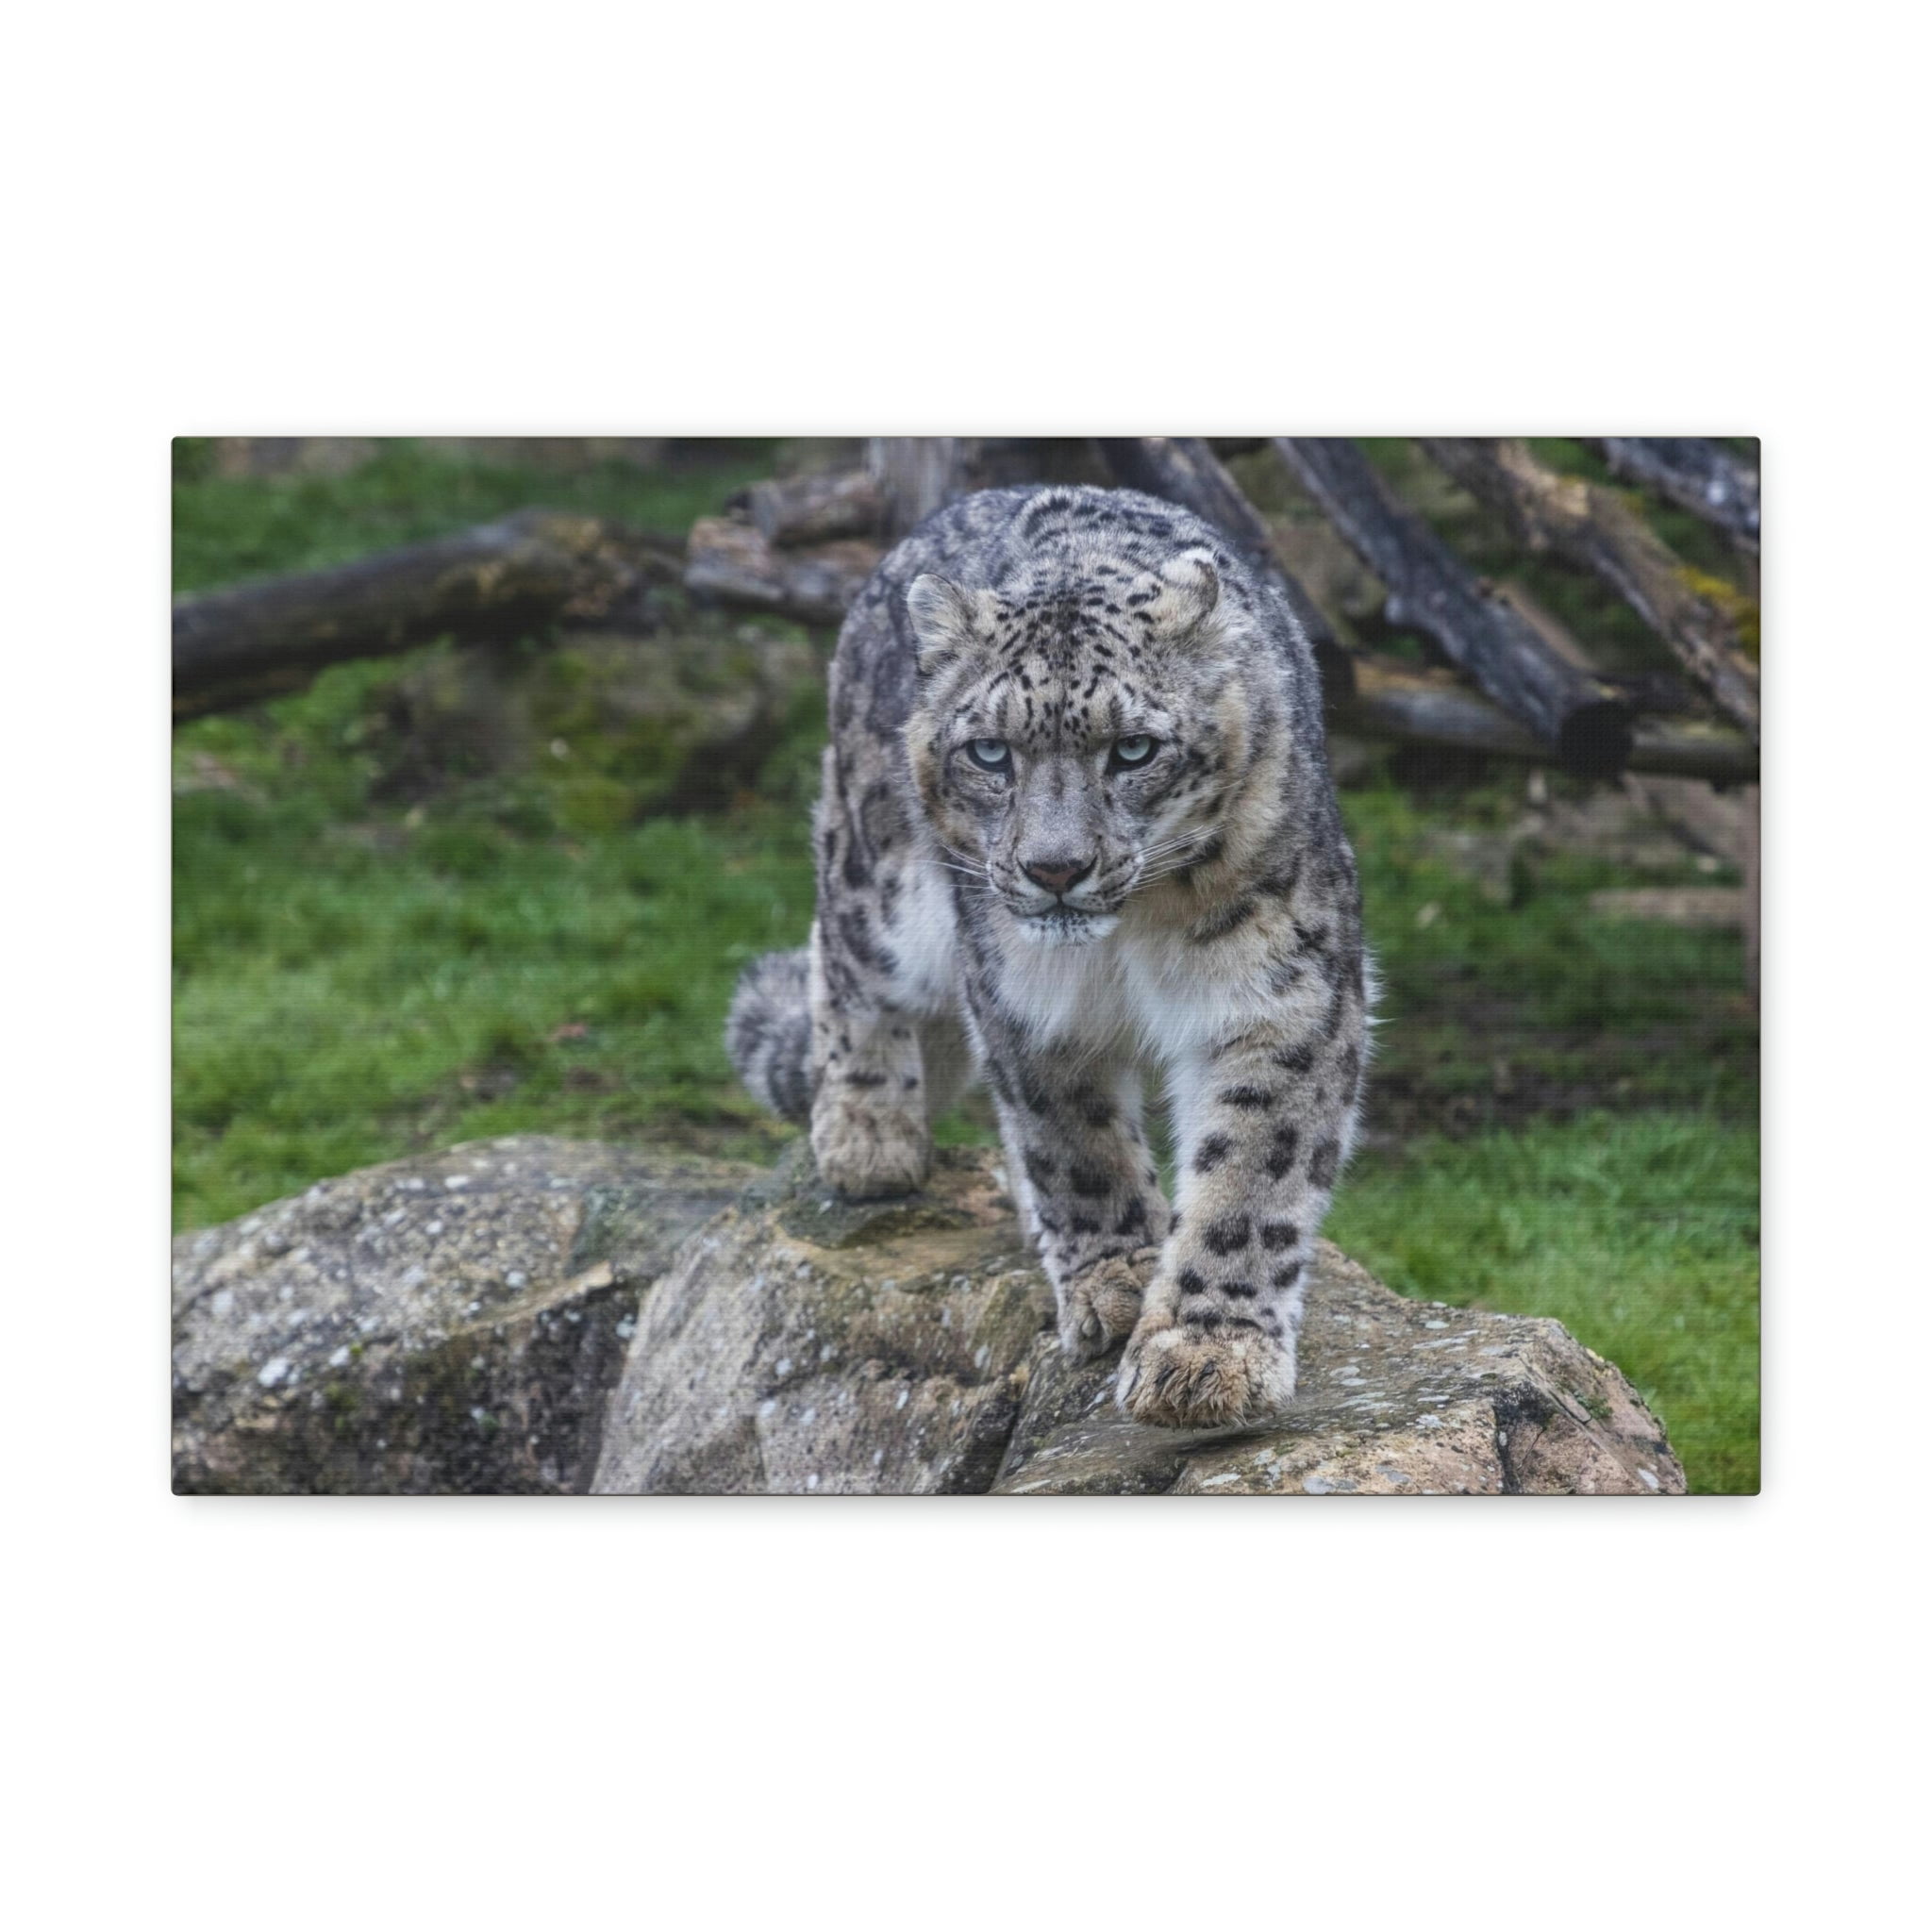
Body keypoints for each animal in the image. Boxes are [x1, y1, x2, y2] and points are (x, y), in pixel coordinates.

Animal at [727, 483, 1370, 1429]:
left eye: (1133, 748)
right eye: (991, 751)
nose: (1055, 868)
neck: (1129, 938)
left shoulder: (1280, 995)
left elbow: (1251, 1175)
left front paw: (1206, 1352)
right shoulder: (1023, 1000)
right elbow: (1073, 1143)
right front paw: (1120, 1281)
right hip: (882, 885)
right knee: (840, 953)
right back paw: (867, 1133)